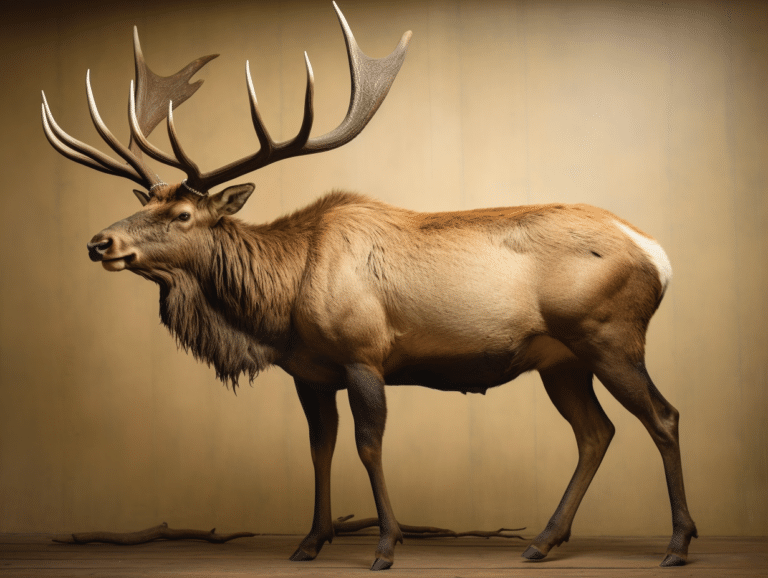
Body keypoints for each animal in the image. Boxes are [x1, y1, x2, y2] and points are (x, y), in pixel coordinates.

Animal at [41, 2, 697, 571]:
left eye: (182, 215)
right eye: (145, 203)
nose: (100, 242)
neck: (278, 305)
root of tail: (659, 256)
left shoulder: (363, 353)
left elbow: (368, 444)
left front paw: (385, 545)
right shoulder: (309, 372)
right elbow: (320, 447)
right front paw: (309, 542)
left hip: (609, 337)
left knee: (662, 416)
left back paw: (677, 543)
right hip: (560, 360)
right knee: (596, 433)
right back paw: (542, 541)